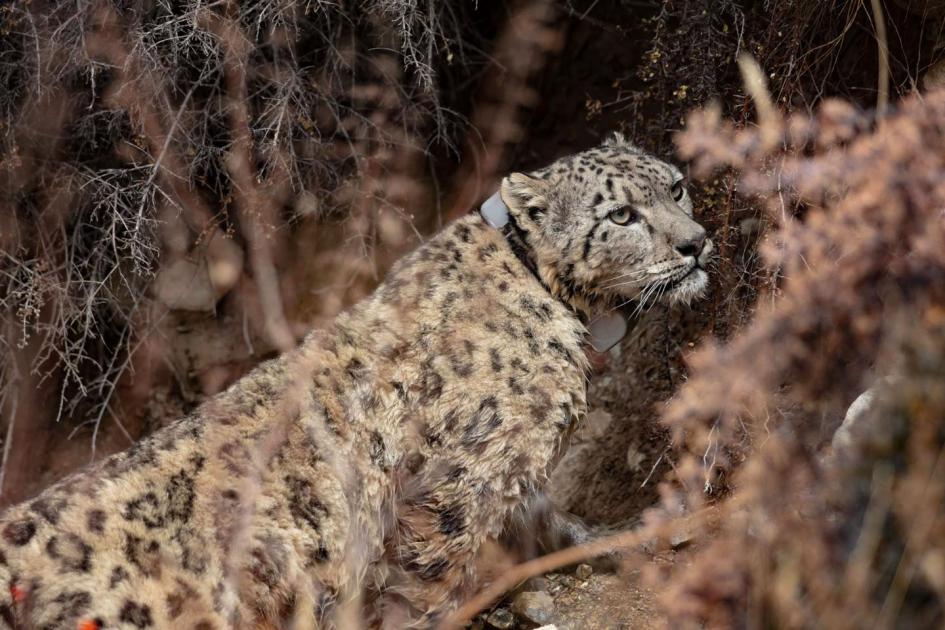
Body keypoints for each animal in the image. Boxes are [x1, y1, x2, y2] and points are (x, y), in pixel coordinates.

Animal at [0, 133, 712, 629]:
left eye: (675, 187)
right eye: (620, 216)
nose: (697, 243)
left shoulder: (518, 462)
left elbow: (551, 519)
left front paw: (624, 534)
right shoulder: (469, 473)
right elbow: (434, 574)